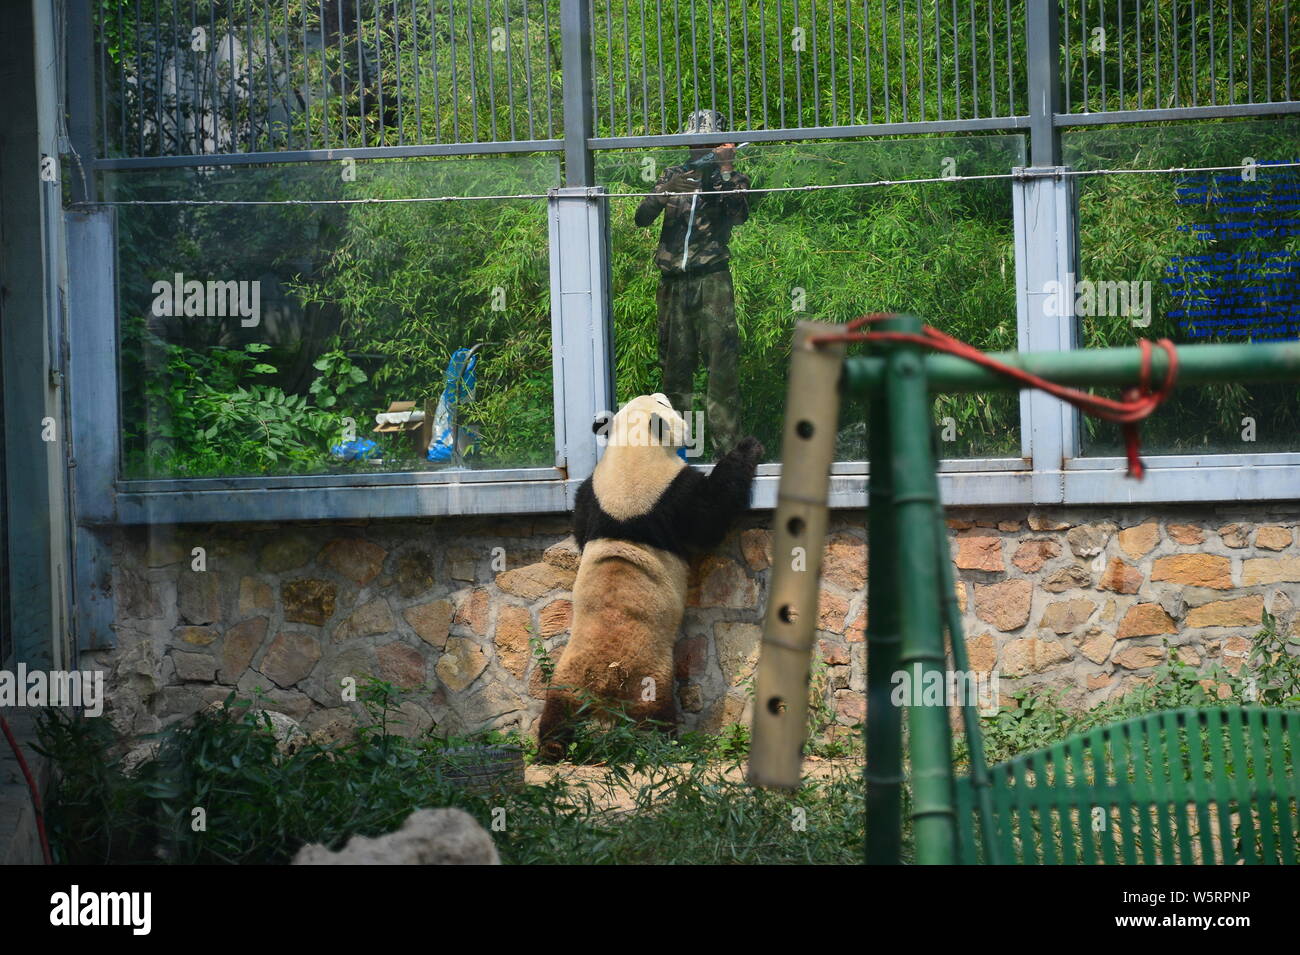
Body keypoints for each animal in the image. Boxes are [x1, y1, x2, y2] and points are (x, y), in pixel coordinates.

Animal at [535, 393, 764, 763]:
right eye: (663, 402)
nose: (663, 394)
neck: (631, 455)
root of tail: (604, 684)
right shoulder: (673, 495)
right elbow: (711, 515)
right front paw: (748, 446)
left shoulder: (591, 495)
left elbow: (580, 525)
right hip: (647, 677)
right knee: (653, 717)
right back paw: (664, 747)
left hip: (568, 675)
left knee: (558, 708)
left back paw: (551, 747)